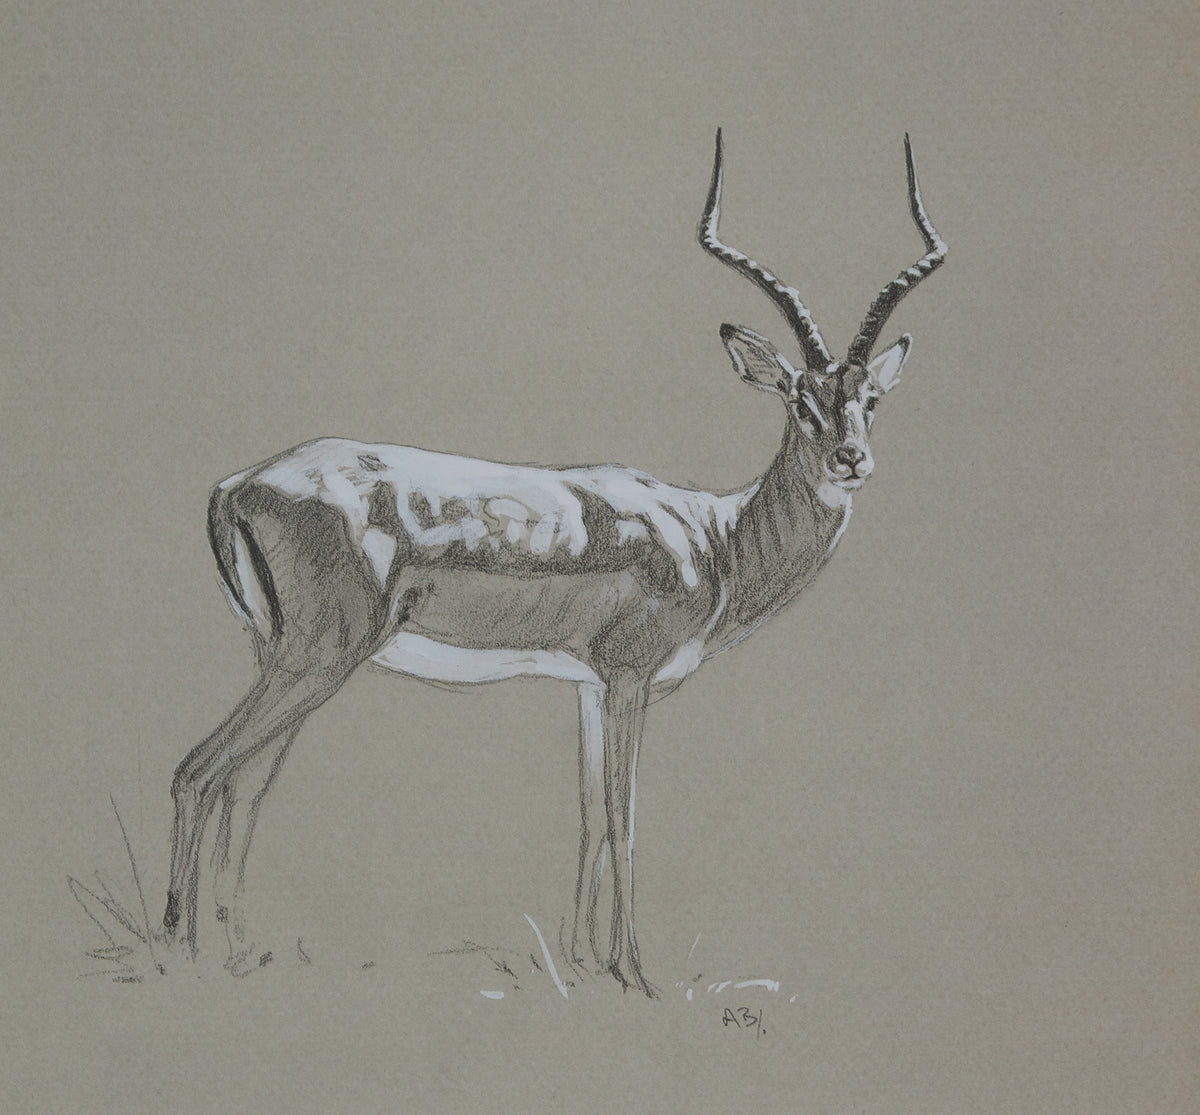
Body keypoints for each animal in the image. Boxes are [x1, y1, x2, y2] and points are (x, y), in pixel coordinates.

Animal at [164, 131, 946, 995]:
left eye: (868, 401)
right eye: (800, 402)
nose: (850, 459)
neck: (711, 534)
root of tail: (237, 484)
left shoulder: (587, 687)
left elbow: (588, 819)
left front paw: (578, 964)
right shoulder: (631, 679)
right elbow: (625, 819)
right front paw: (636, 974)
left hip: (284, 659)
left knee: (242, 783)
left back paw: (239, 950)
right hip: (316, 658)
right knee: (199, 769)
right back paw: (182, 950)